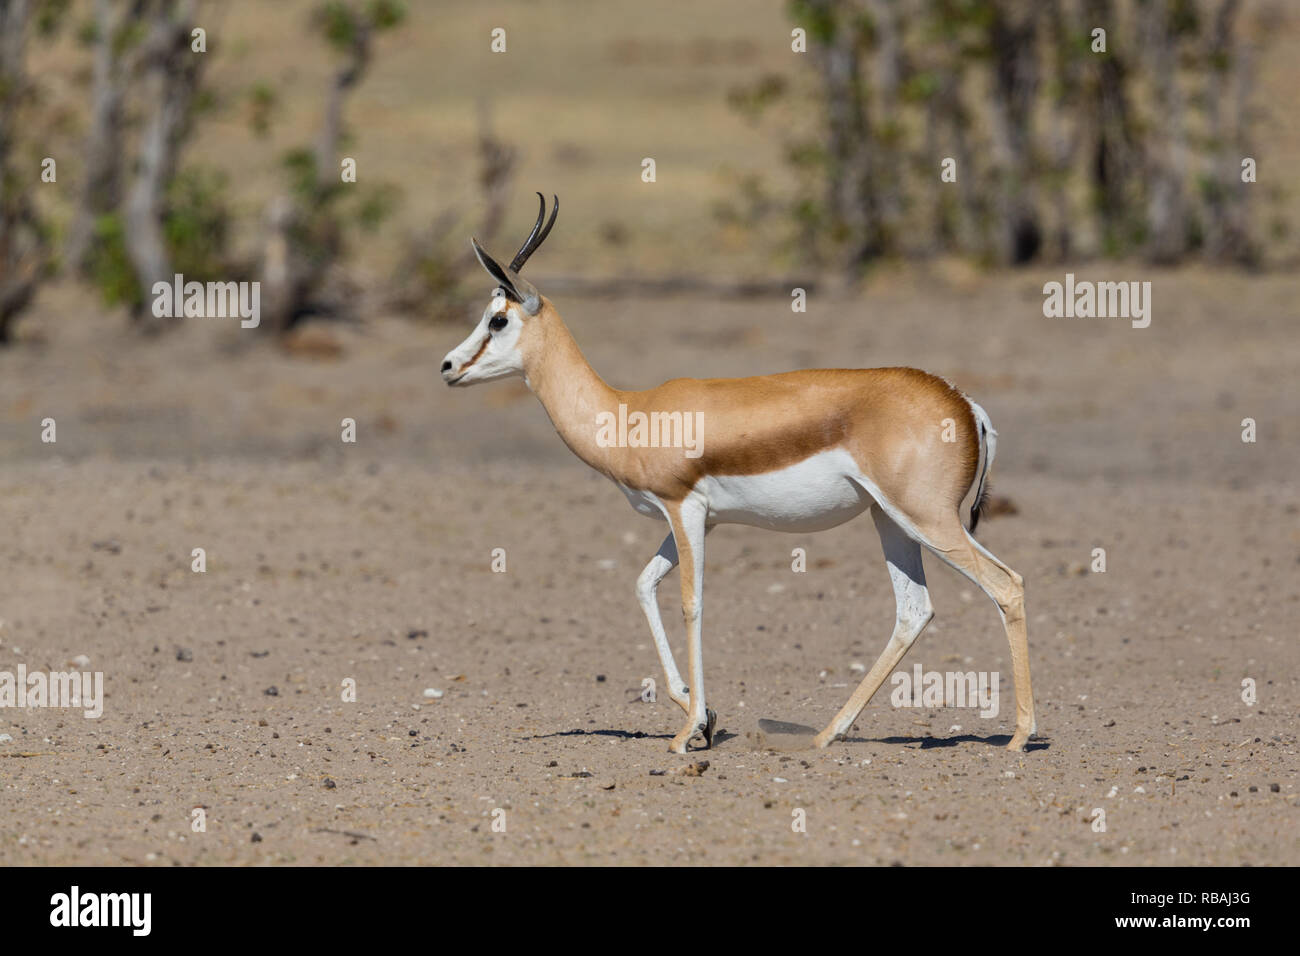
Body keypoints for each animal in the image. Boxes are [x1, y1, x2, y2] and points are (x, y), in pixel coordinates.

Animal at [441, 195, 1036, 755]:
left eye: (498, 319)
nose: (447, 366)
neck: (629, 414)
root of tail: (965, 403)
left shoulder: (684, 509)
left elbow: (692, 604)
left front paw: (686, 734)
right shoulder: (696, 519)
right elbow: (642, 585)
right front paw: (702, 716)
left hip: (929, 520)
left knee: (1006, 584)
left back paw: (1019, 737)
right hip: (891, 520)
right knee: (913, 611)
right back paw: (827, 735)